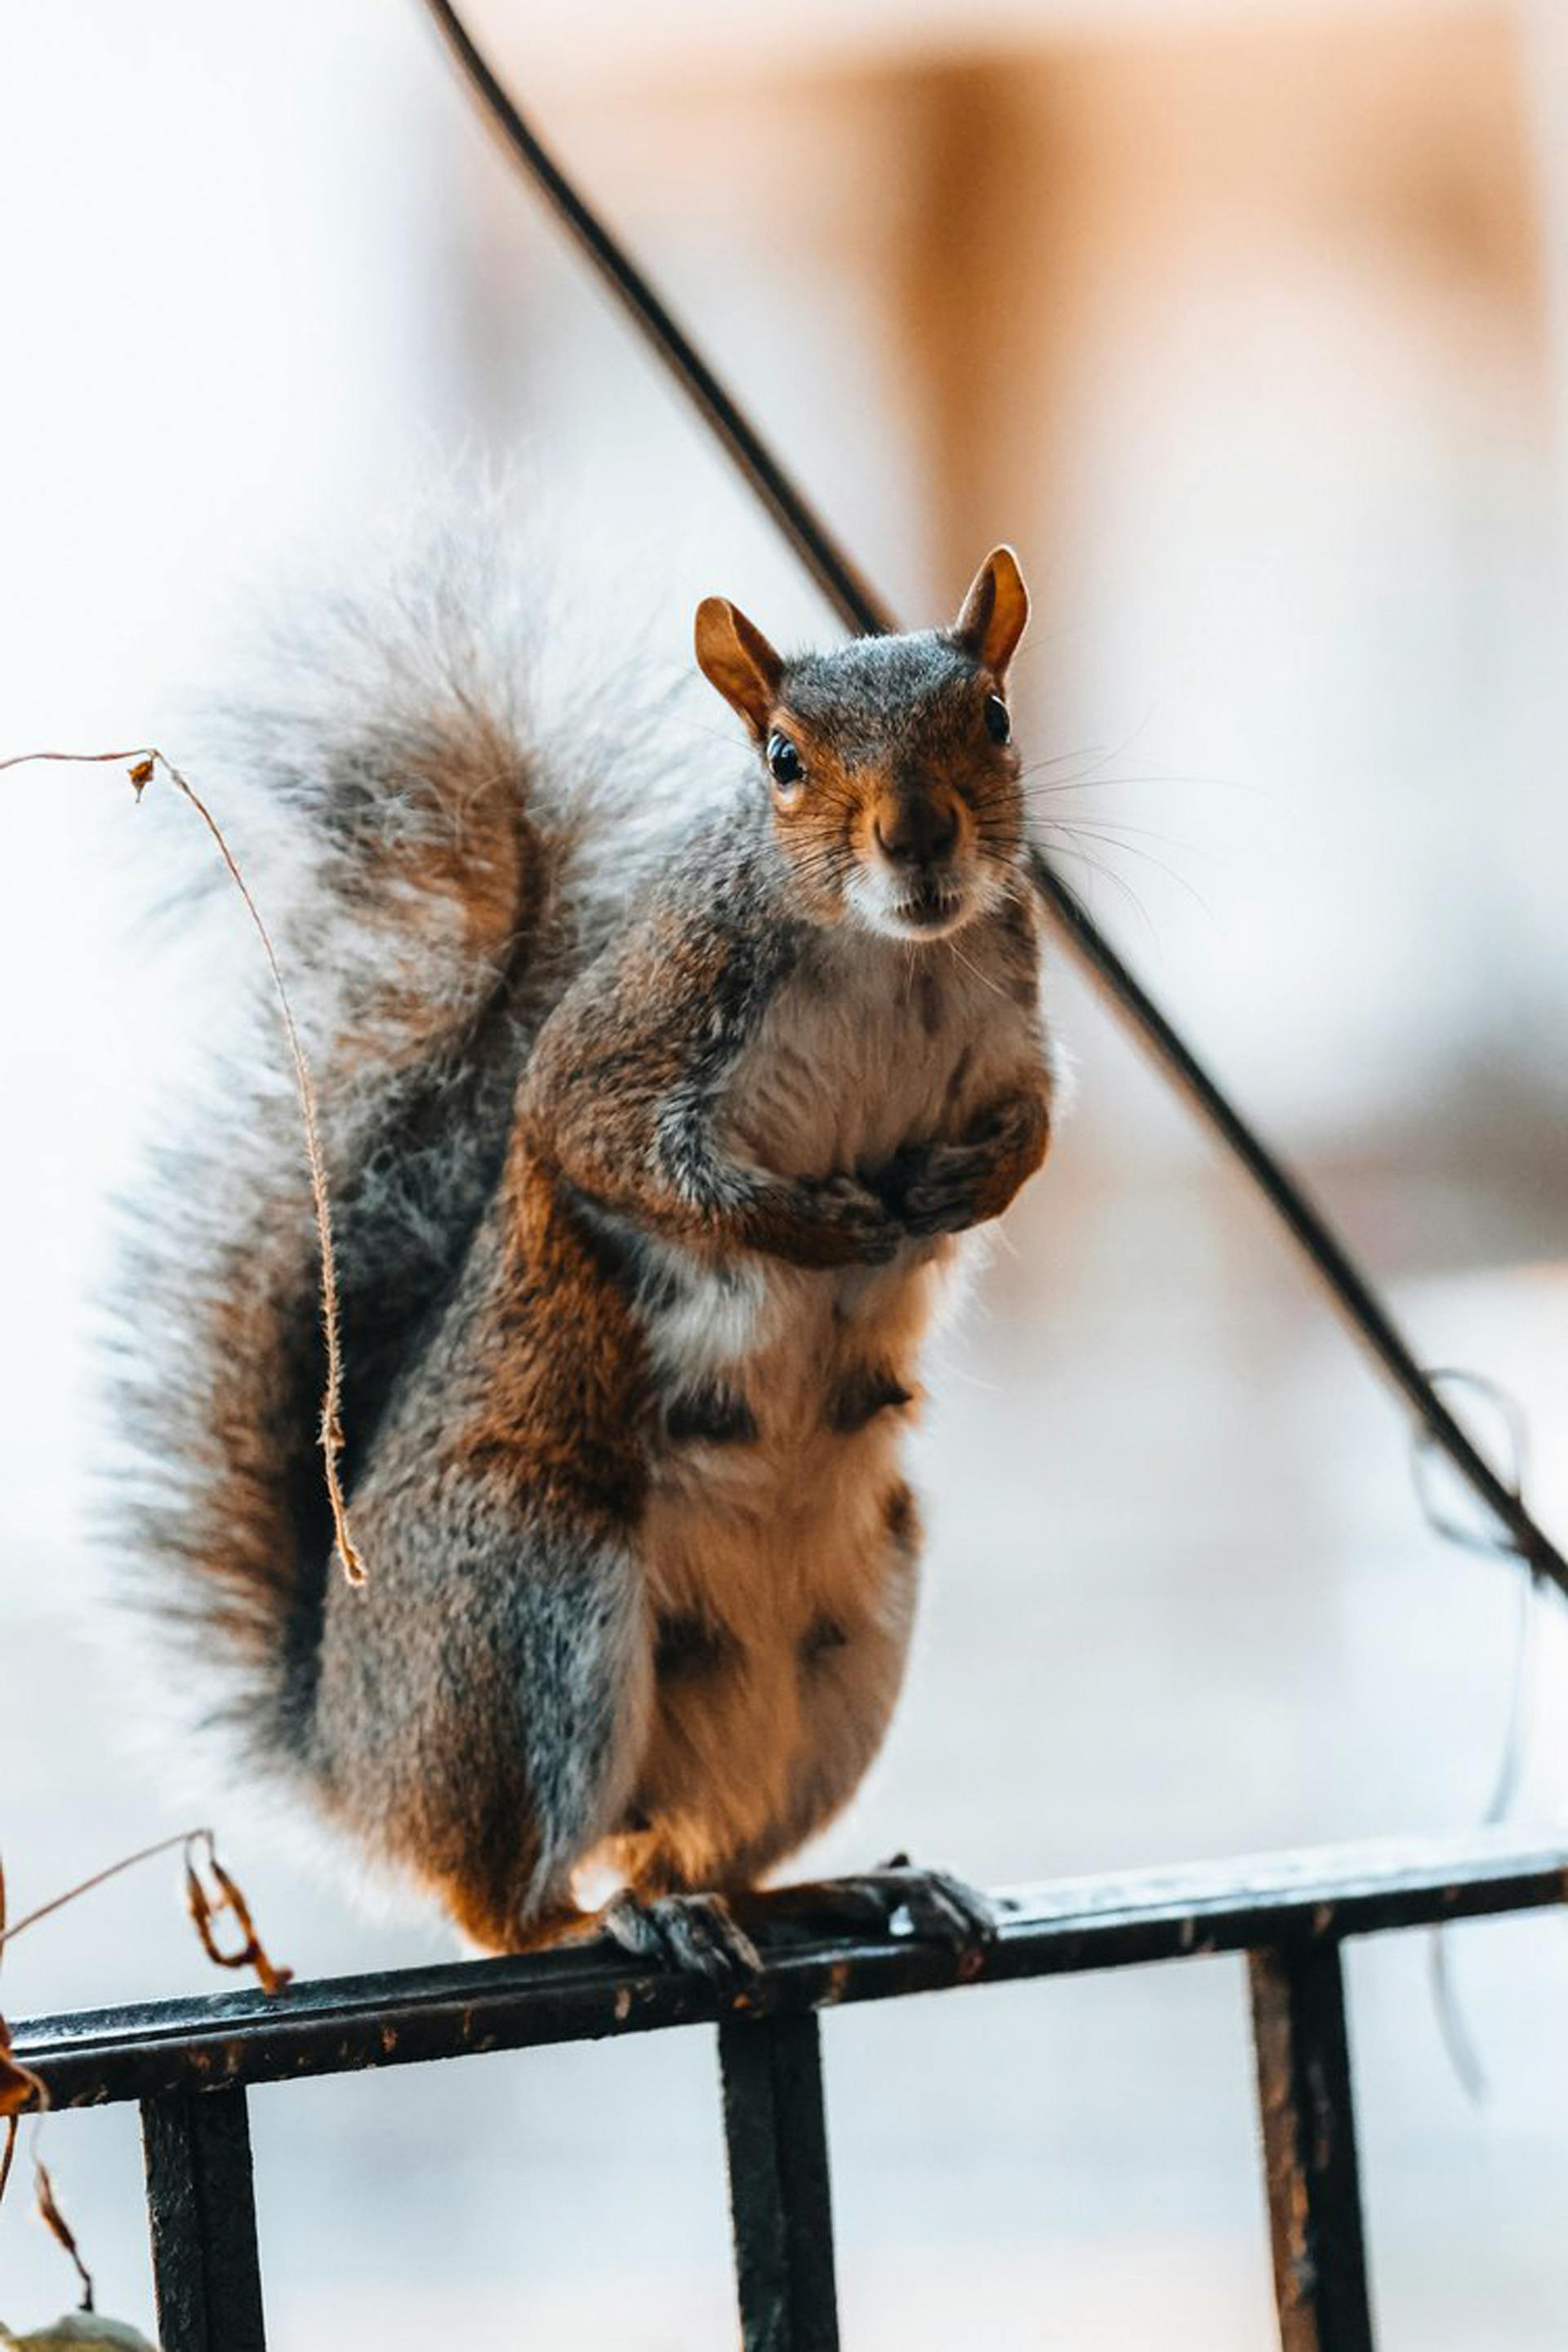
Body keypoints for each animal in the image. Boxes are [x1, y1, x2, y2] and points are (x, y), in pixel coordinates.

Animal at [114, 537, 1055, 1976]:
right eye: (783, 758)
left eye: (995, 718)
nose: (918, 837)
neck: (891, 954)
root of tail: (352, 1761)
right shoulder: (629, 1038)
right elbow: (606, 1145)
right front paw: (817, 1225)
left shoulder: (1014, 1032)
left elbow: (1038, 1135)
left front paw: (969, 1184)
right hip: (531, 1613)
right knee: (512, 1909)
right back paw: (623, 1919)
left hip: (844, 1651)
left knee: (706, 1845)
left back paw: (819, 1893)